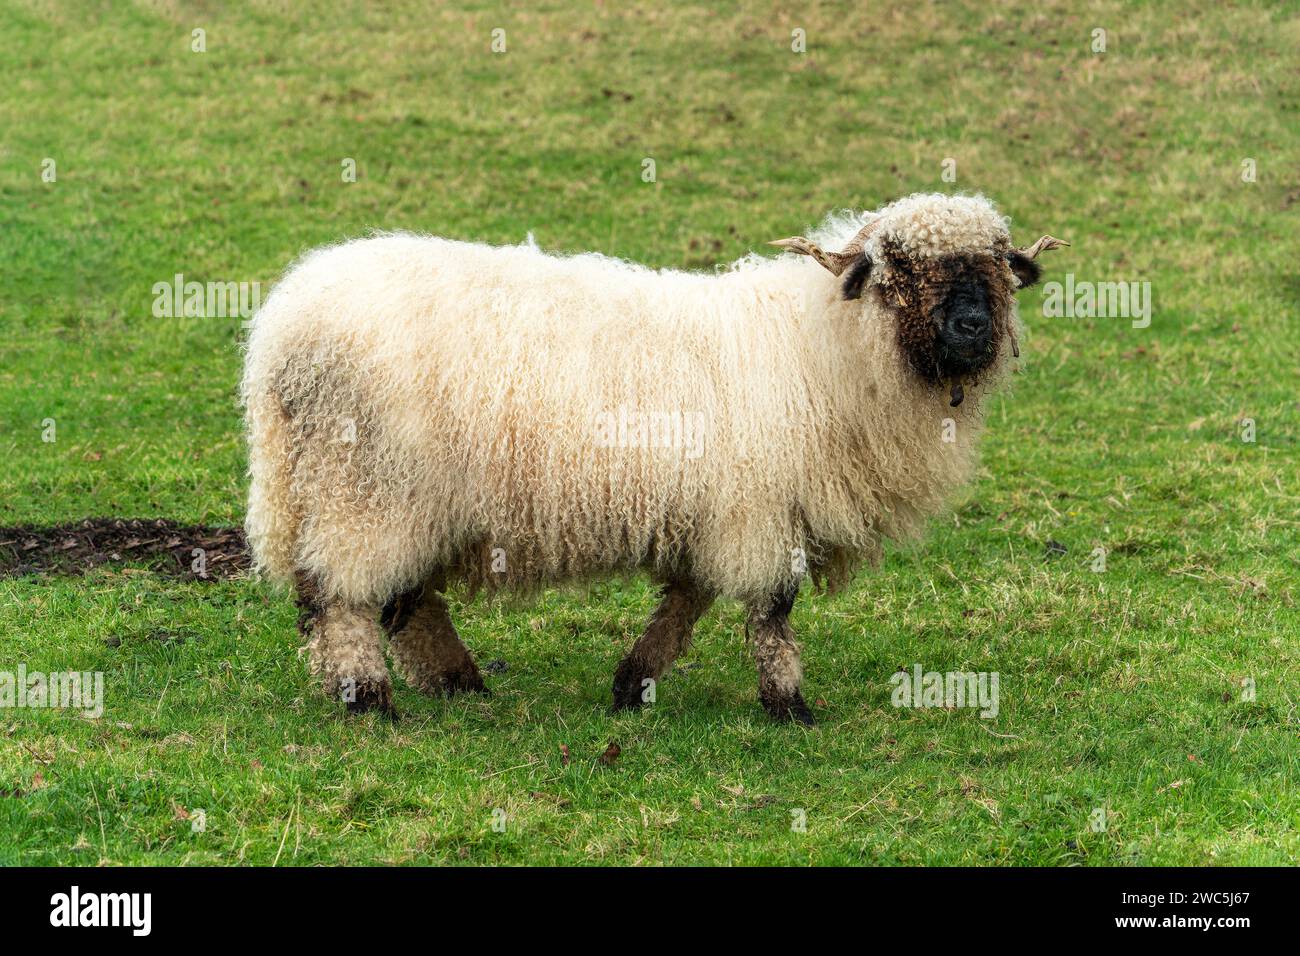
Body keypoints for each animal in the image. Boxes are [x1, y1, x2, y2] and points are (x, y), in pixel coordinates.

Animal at [241, 192, 1065, 723]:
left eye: (996, 267)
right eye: (901, 267)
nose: (972, 327)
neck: (823, 348)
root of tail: (281, 331)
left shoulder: (718, 510)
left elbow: (687, 599)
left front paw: (632, 683)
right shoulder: (758, 508)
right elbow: (771, 611)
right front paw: (790, 705)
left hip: (385, 494)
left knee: (400, 599)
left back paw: (455, 682)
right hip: (369, 486)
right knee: (344, 595)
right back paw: (368, 699)